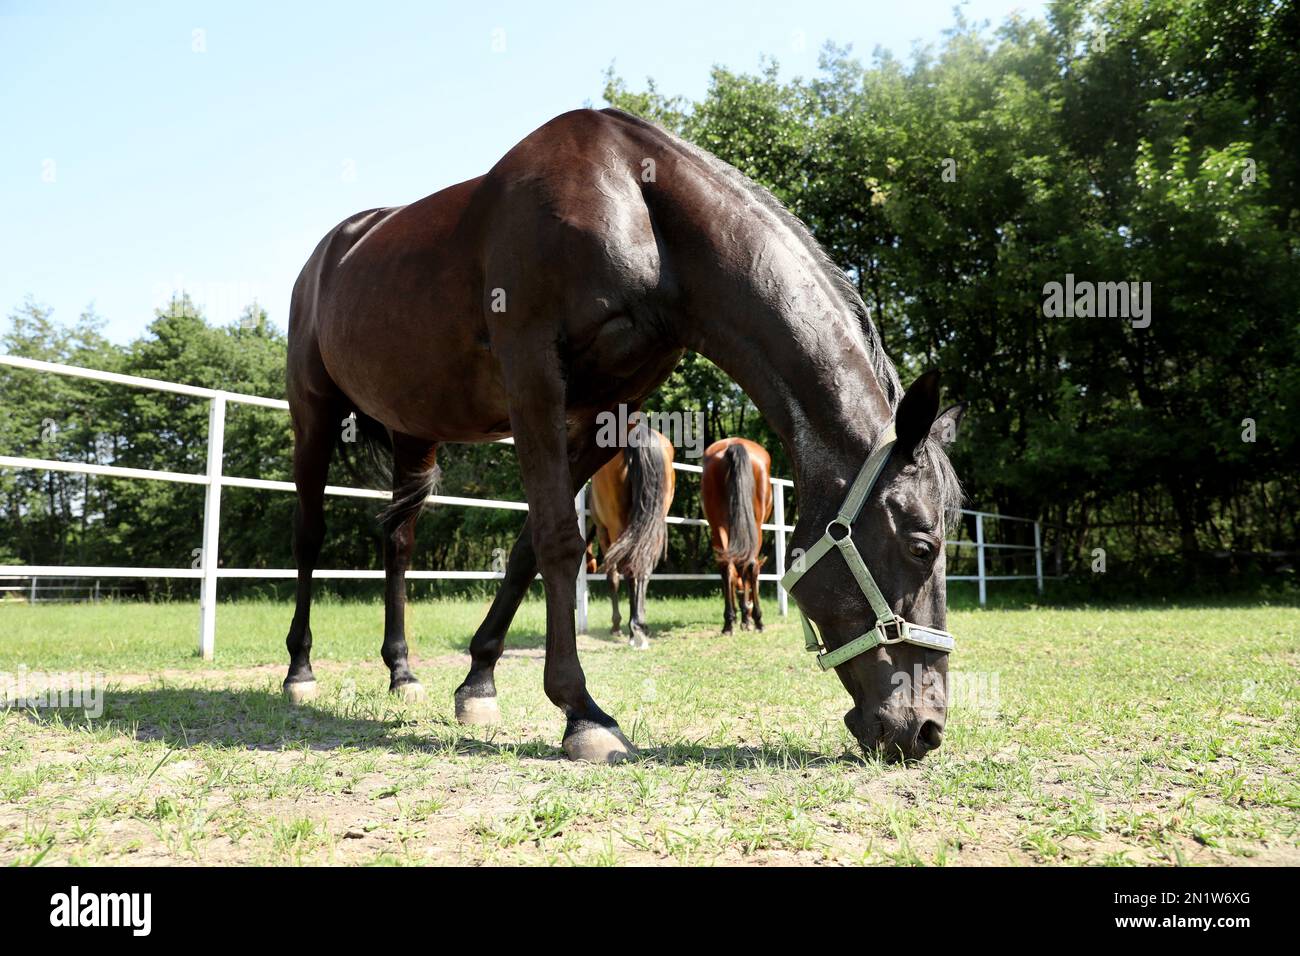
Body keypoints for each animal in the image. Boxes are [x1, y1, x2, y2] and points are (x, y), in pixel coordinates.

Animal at [583, 425, 676, 649]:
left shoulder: (604, 533)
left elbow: (613, 578)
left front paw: (616, 625)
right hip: (653, 523)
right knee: (643, 568)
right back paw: (640, 625)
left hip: (618, 526)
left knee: (629, 569)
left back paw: (635, 629)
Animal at [700, 438, 773, 634]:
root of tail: (734, 444)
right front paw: (747, 619)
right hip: (756, 525)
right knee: (751, 565)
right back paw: (758, 621)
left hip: (717, 523)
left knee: (726, 565)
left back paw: (728, 623)